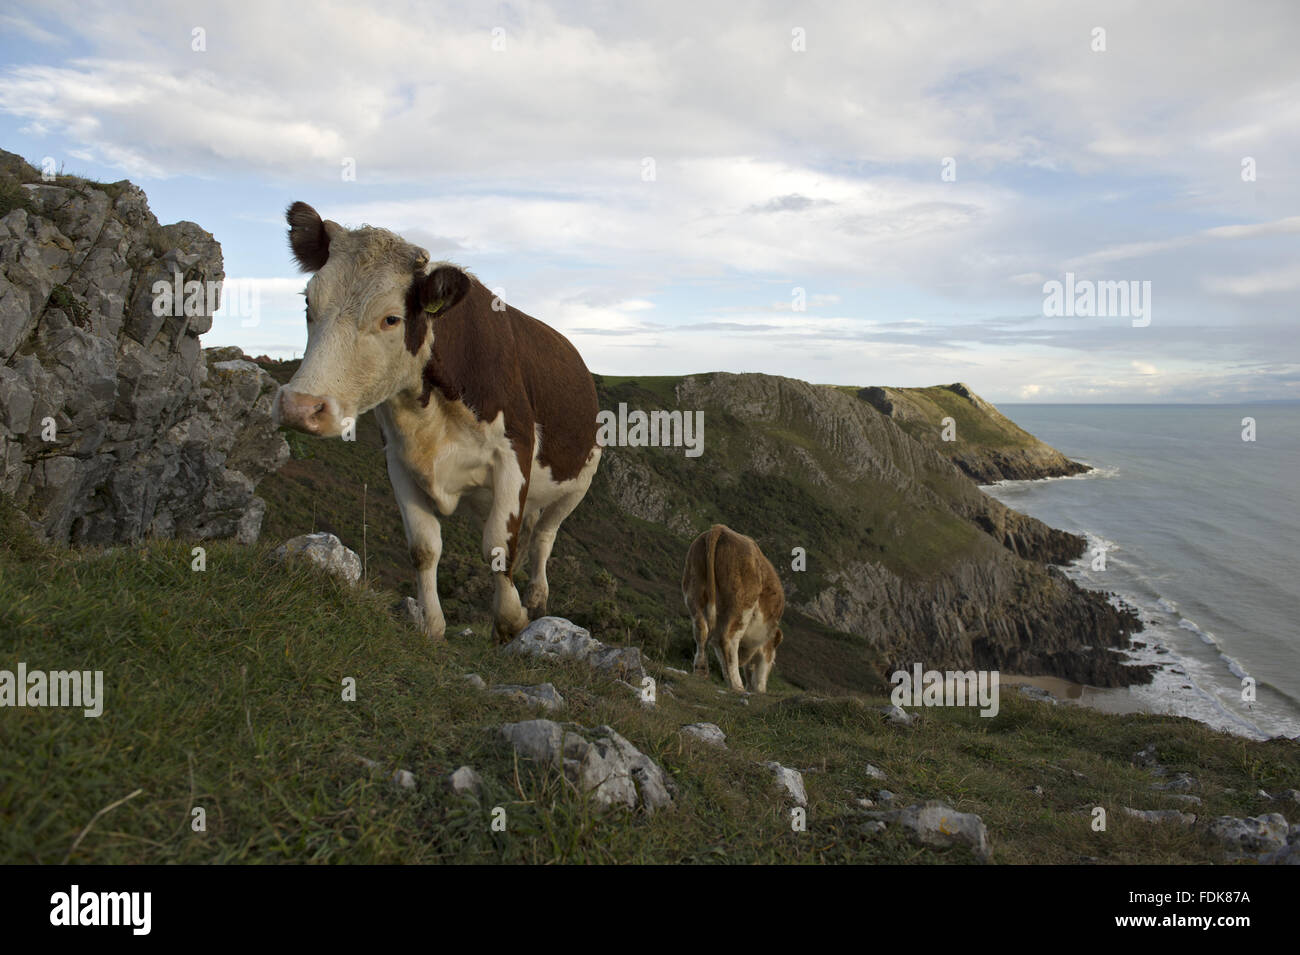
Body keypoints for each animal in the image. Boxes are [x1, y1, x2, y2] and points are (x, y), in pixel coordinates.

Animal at [272, 202, 601, 642]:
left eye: (391, 319)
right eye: (309, 304)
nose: (300, 406)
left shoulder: (514, 453)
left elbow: (498, 545)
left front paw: (511, 620)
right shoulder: (398, 460)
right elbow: (424, 548)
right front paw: (431, 624)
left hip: (576, 483)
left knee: (545, 535)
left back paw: (535, 597)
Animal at [681, 524, 785, 693]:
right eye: (774, 662)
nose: (759, 690)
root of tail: (719, 529)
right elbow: (761, 662)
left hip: (693, 589)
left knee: (701, 629)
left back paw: (701, 671)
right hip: (741, 605)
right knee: (728, 639)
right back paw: (738, 685)